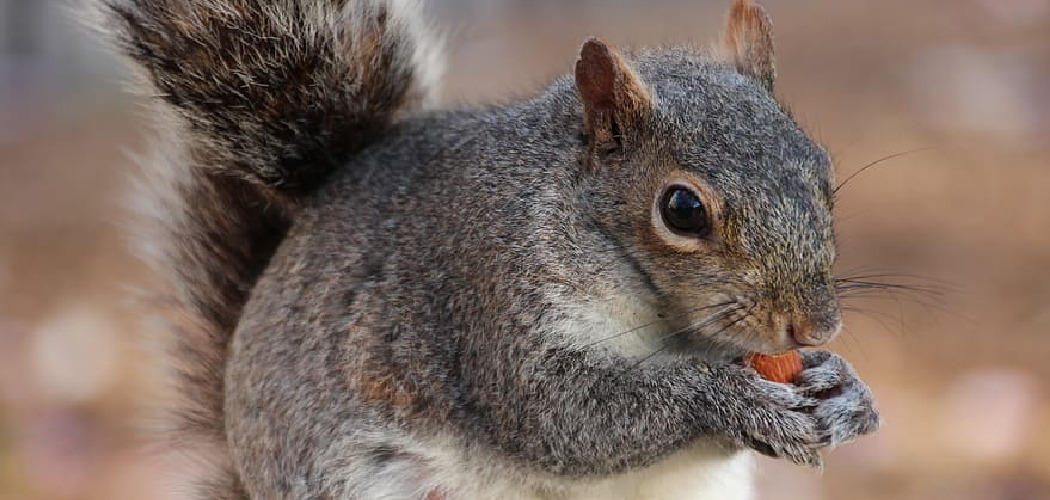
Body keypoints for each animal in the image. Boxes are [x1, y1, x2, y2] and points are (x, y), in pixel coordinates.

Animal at [89, 0, 880, 499]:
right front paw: (731, 399)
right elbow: (564, 415)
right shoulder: (491, 296)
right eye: (681, 209)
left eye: (823, 171)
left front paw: (845, 391)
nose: (815, 326)